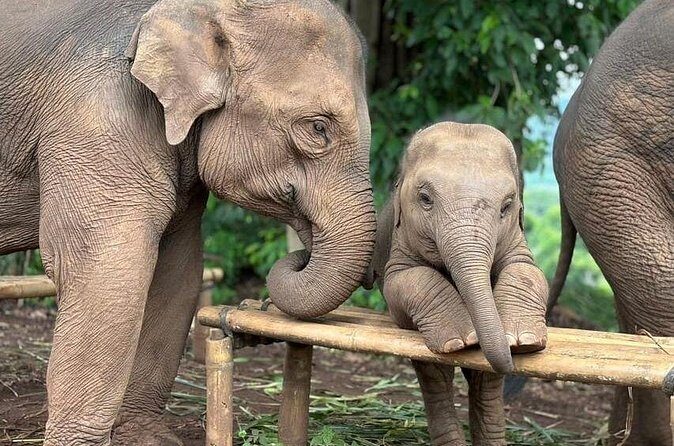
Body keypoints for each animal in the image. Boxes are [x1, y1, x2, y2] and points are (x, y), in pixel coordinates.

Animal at [0, 0, 375, 444]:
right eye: (318, 127)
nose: (300, 255)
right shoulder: (95, 122)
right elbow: (107, 271)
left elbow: (177, 269)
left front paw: (147, 436)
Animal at [368, 122, 548, 445]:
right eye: (425, 199)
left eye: (507, 206)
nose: (514, 359)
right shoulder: (400, 242)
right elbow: (403, 280)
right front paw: (463, 340)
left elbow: (528, 271)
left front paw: (523, 340)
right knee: (434, 373)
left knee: (485, 379)